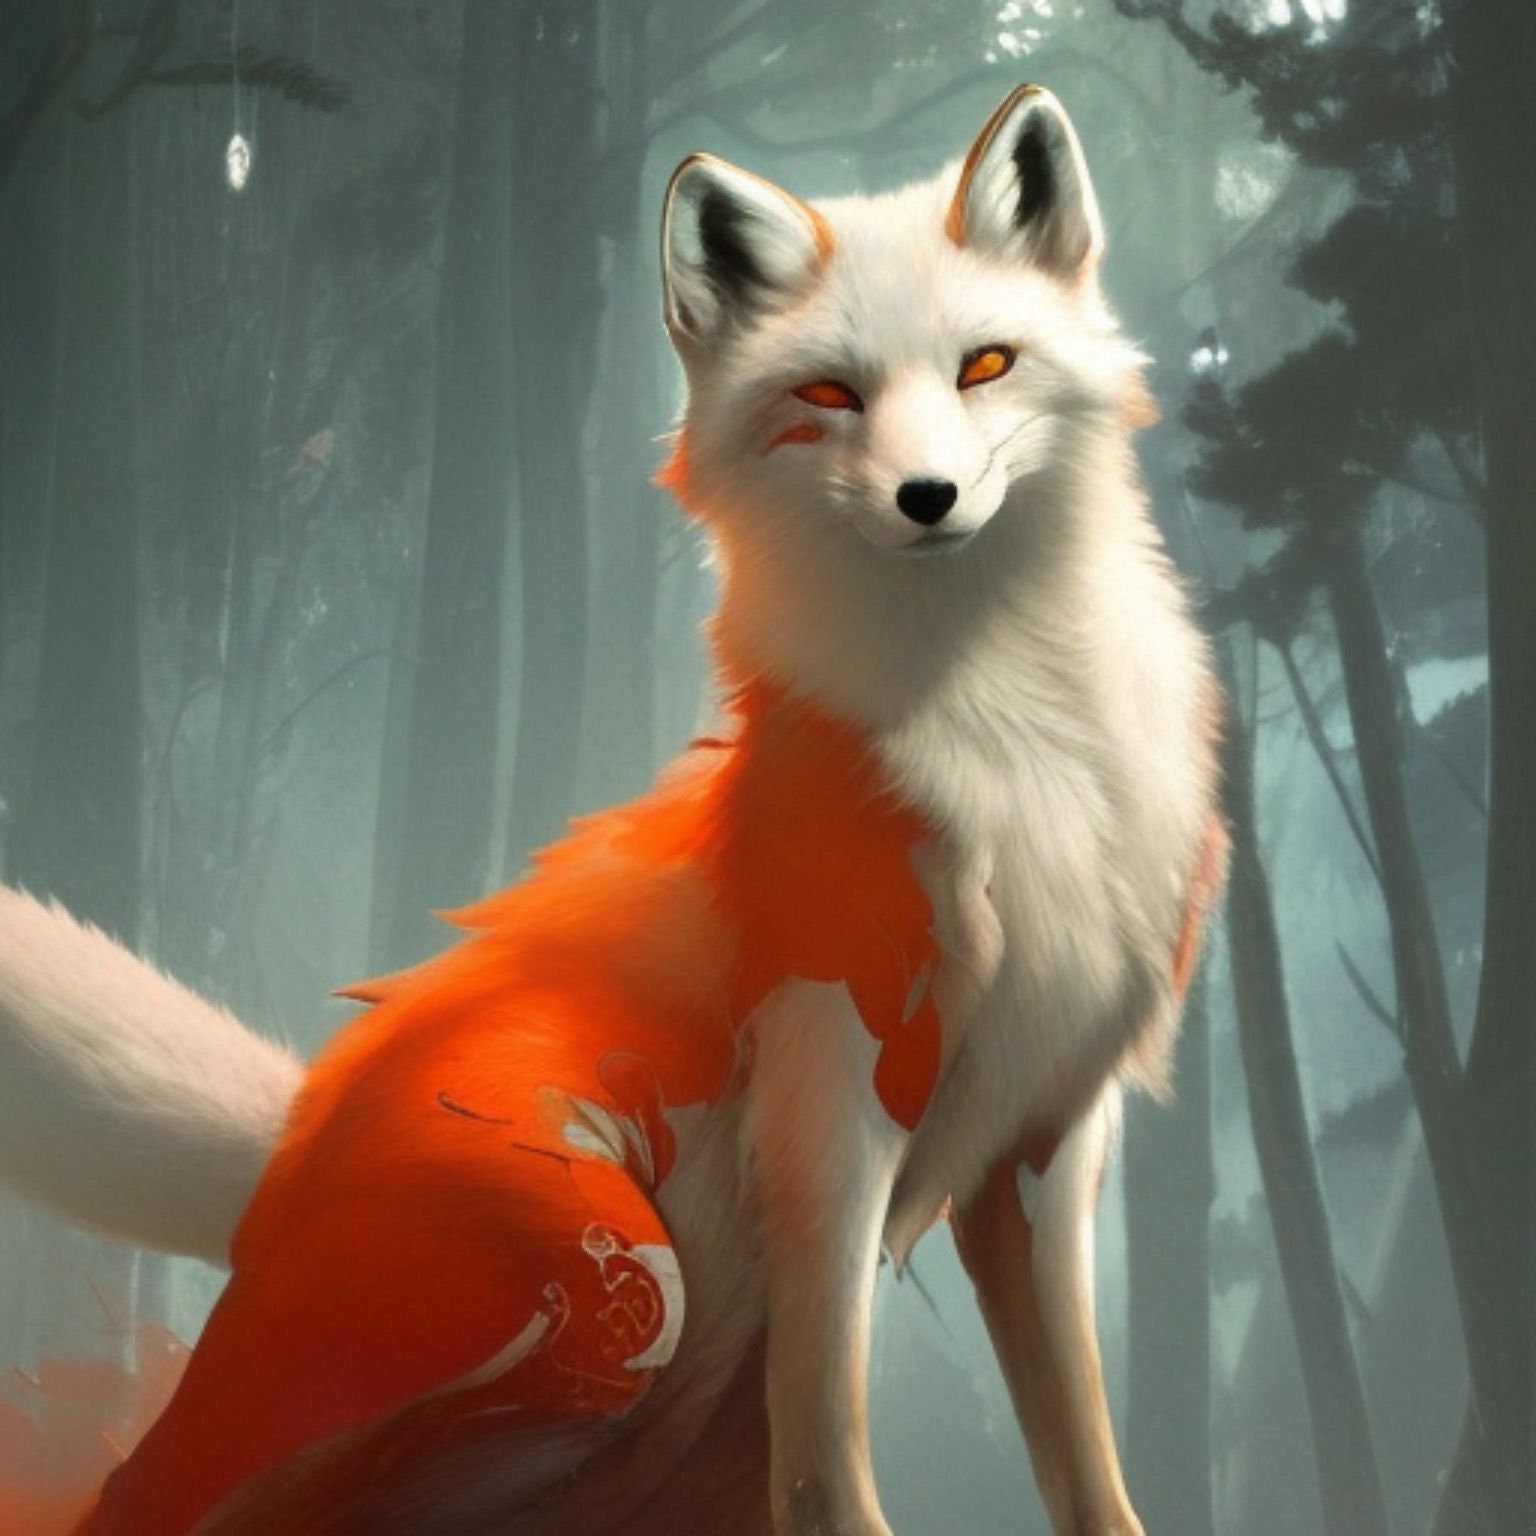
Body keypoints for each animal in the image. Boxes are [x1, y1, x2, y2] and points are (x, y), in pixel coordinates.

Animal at [0, 84, 1226, 1536]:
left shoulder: (1045, 1138)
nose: (927, 499)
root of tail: (305, 1119)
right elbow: (831, 1451)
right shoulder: (833, 1085)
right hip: (617, 1302)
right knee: (155, 1488)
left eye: (988, 364)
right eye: (829, 394)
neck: (1012, 741)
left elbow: (1085, 1462)